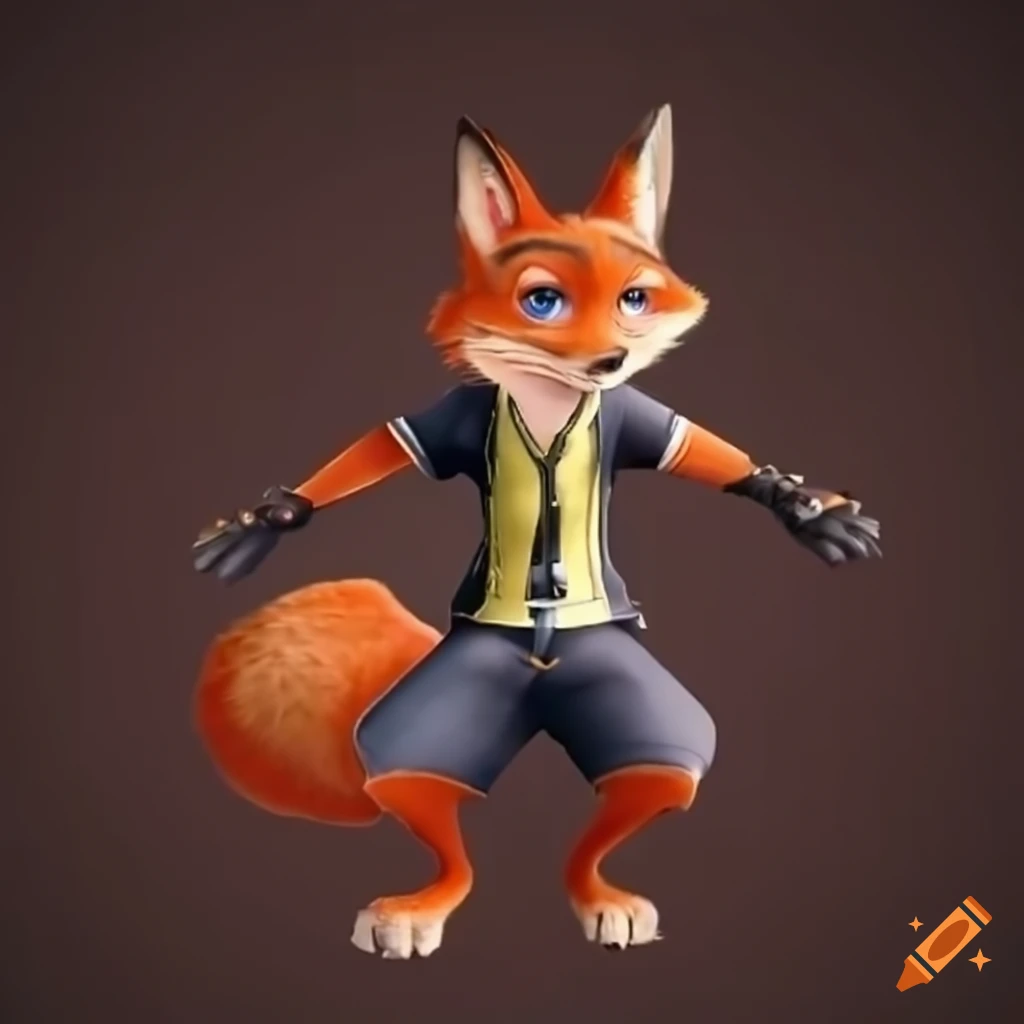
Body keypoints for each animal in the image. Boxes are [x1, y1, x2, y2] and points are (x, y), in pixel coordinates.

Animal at [192, 104, 882, 960]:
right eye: (543, 302)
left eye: (634, 299)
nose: (611, 359)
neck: (552, 400)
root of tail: (543, 671)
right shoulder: (454, 418)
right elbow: (380, 447)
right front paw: (270, 518)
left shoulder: (632, 417)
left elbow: (713, 457)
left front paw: (804, 505)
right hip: (445, 712)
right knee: (415, 779)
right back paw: (419, 906)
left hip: (631, 713)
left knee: (651, 773)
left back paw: (601, 897)